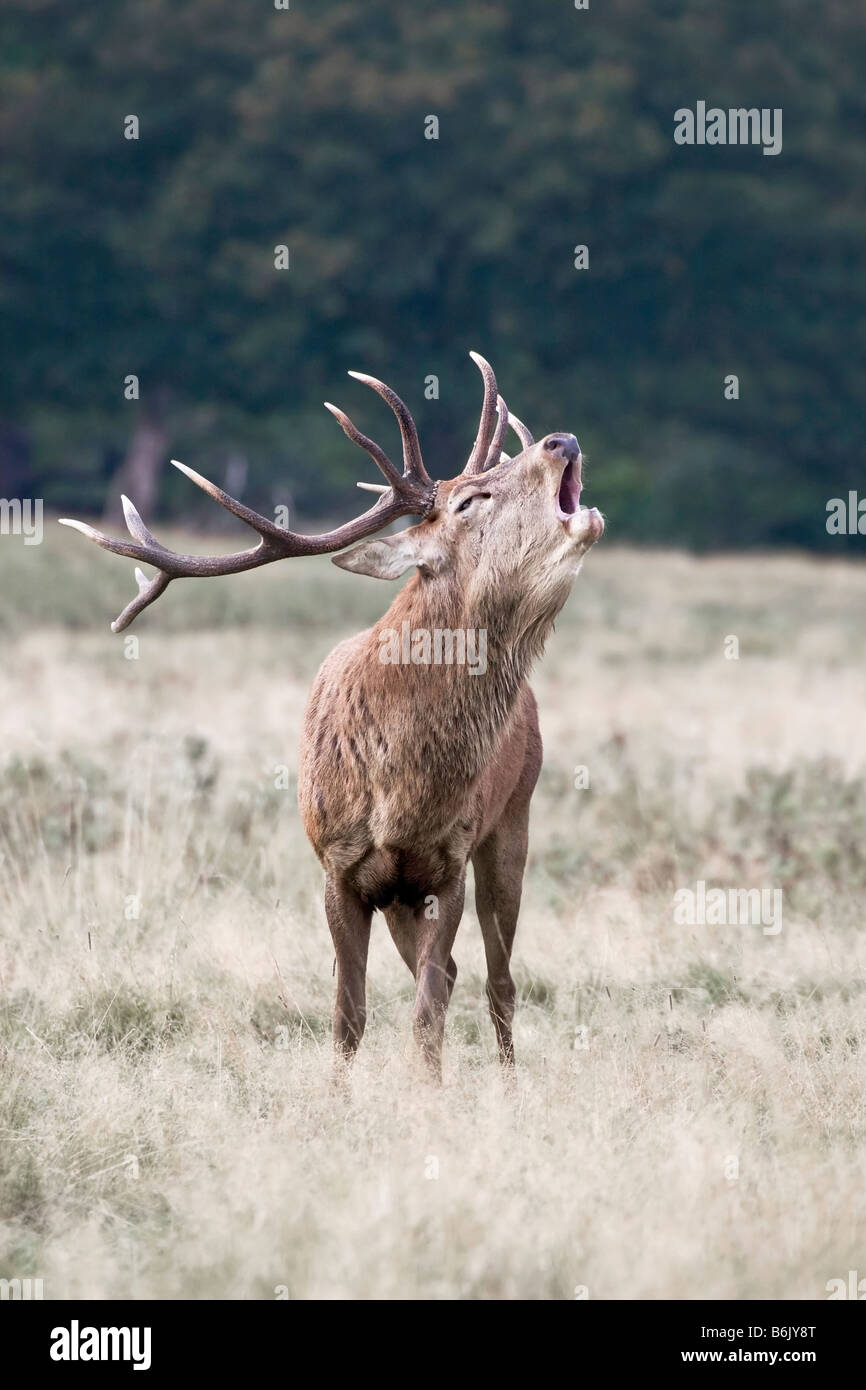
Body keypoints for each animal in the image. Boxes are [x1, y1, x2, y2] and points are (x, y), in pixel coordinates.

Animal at [59, 354, 603, 1079]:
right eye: (469, 500)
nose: (560, 439)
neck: (400, 794)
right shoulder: (337, 868)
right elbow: (349, 1013)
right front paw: (341, 1093)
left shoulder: (448, 863)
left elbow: (427, 1012)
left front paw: (429, 1095)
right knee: (464, 973)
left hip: (514, 816)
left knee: (498, 979)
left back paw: (510, 1078)